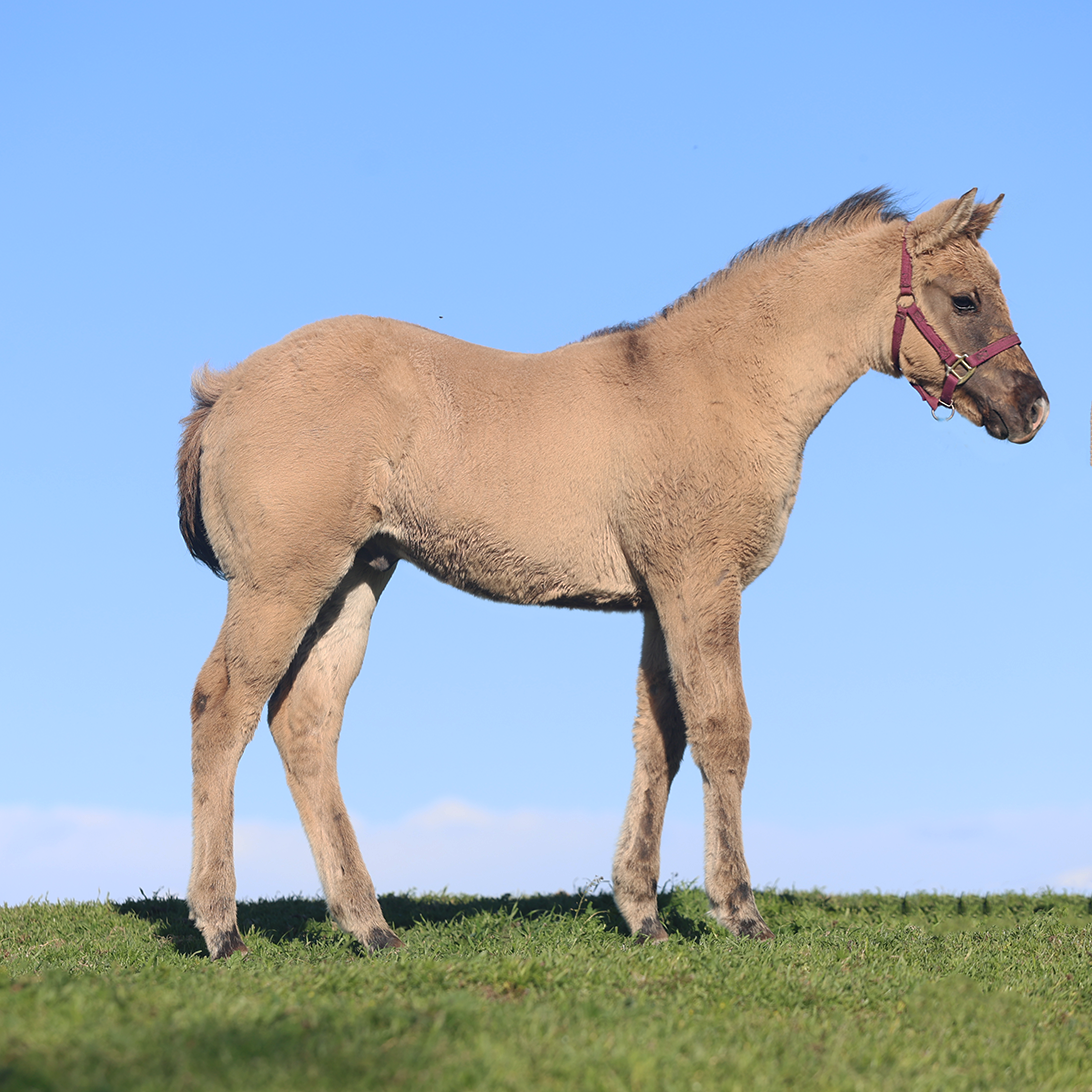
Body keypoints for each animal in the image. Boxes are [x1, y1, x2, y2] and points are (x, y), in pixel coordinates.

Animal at [178, 188, 1048, 958]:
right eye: (965, 299)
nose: (1033, 408)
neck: (722, 384)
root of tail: (227, 391)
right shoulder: (701, 584)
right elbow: (723, 729)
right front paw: (738, 910)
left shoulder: (660, 602)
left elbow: (659, 736)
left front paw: (643, 912)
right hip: (281, 584)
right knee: (222, 708)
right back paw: (221, 927)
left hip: (356, 578)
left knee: (305, 722)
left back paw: (369, 926)